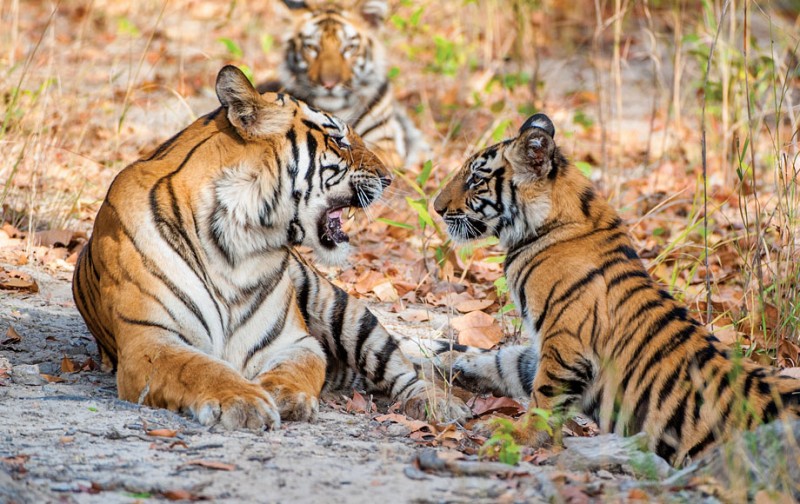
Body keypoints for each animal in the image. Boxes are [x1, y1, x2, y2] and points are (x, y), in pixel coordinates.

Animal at [72, 65, 469, 430]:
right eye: (339, 140)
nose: (389, 178)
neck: (237, 240)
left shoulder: (293, 341)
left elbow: (298, 368)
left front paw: (283, 395)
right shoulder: (150, 340)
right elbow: (200, 367)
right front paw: (244, 401)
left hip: (343, 310)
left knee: (405, 370)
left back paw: (442, 406)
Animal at [429, 112, 800, 466]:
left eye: (475, 180)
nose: (436, 207)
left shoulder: (566, 344)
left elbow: (542, 394)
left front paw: (515, 436)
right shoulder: (552, 344)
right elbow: (509, 360)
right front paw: (448, 356)